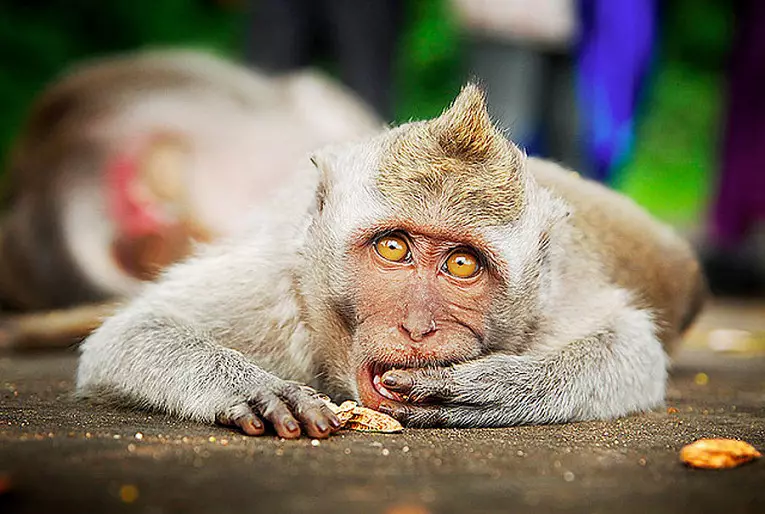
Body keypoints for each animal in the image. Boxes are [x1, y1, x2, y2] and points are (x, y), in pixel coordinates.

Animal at [74, 84, 708, 436]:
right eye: (394, 248)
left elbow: (630, 349)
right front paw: (255, 389)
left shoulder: (547, 302)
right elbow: (130, 336)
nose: (417, 327)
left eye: (462, 264)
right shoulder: (275, 295)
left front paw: (489, 391)